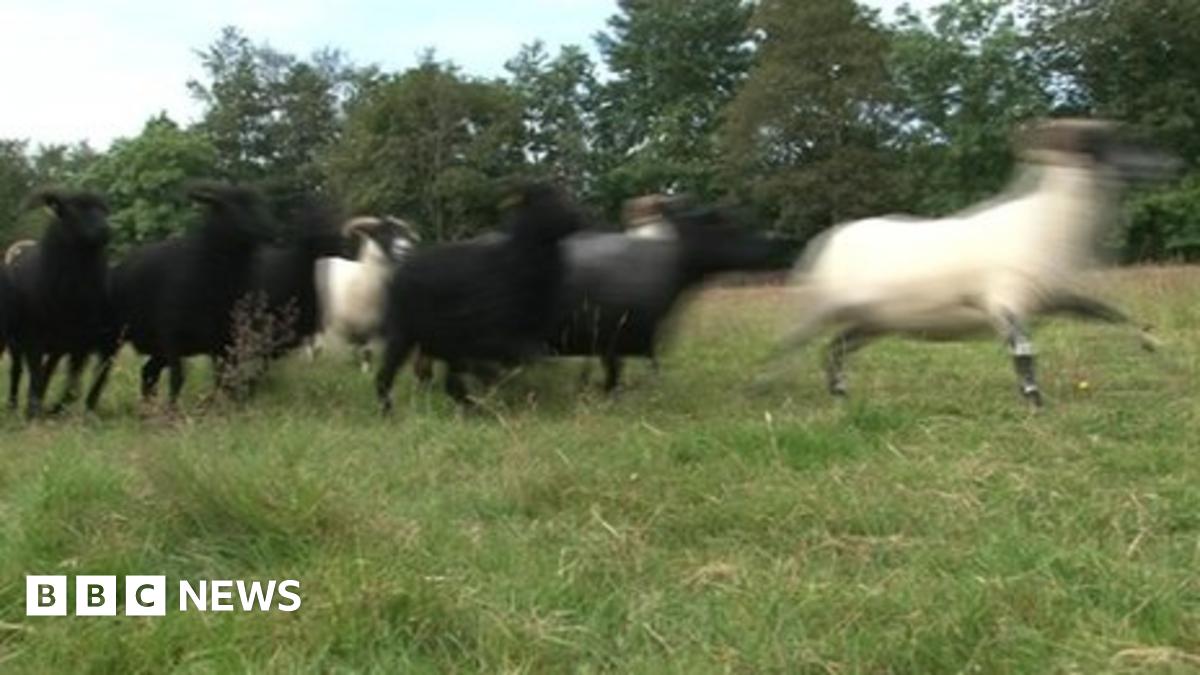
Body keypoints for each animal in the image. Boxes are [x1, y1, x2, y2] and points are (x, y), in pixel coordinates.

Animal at [3, 190, 112, 417]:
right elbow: (35, 374)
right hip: (15, 341)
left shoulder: (76, 342)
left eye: (104, 210)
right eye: (71, 210)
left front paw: (53, 408)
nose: (106, 230)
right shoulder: (33, 338)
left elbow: (69, 385)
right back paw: (13, 404)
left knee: (47, 369)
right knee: (16, 370)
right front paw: (33, 411)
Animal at [97, 182, 276, 409]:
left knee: (148, 372)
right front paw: (173, 411)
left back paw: (147, 408)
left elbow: (225, 379)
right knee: (106, 371)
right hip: (118, 337)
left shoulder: (224, 340)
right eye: (232, 205)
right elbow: (178, 378)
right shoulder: (172, 336)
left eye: (262, 203)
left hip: (159, 348)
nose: (270, 231)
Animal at [312, 215, 420, 372]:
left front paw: (364, 369)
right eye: (383, 233)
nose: (406, 249)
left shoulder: (375, 328)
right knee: (315, 342)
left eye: (405, 234)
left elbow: (367, 351)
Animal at [374, 182, 586, 412]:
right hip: (404, 331)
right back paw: (388, 410)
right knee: (387, 374)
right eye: (547, 200)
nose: (580, 217)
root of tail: (402, 268)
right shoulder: (493, 338)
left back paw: (470, 405)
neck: (517, 258)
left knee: (451, 379)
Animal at [766, 118, 1177, 406]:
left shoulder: (1054, 296)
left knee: (834, 349)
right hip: (828, 306)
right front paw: (1035, 402)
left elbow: (1112, 313)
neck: (1047, 219)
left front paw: (1156, 349)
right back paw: (764, 389)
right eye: (1099, 143)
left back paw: (840, 395)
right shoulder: (1005, 301)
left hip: (875, 320)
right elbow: (1024, 353)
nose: (1171, 165)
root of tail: (826, 241)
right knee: (792, 344)